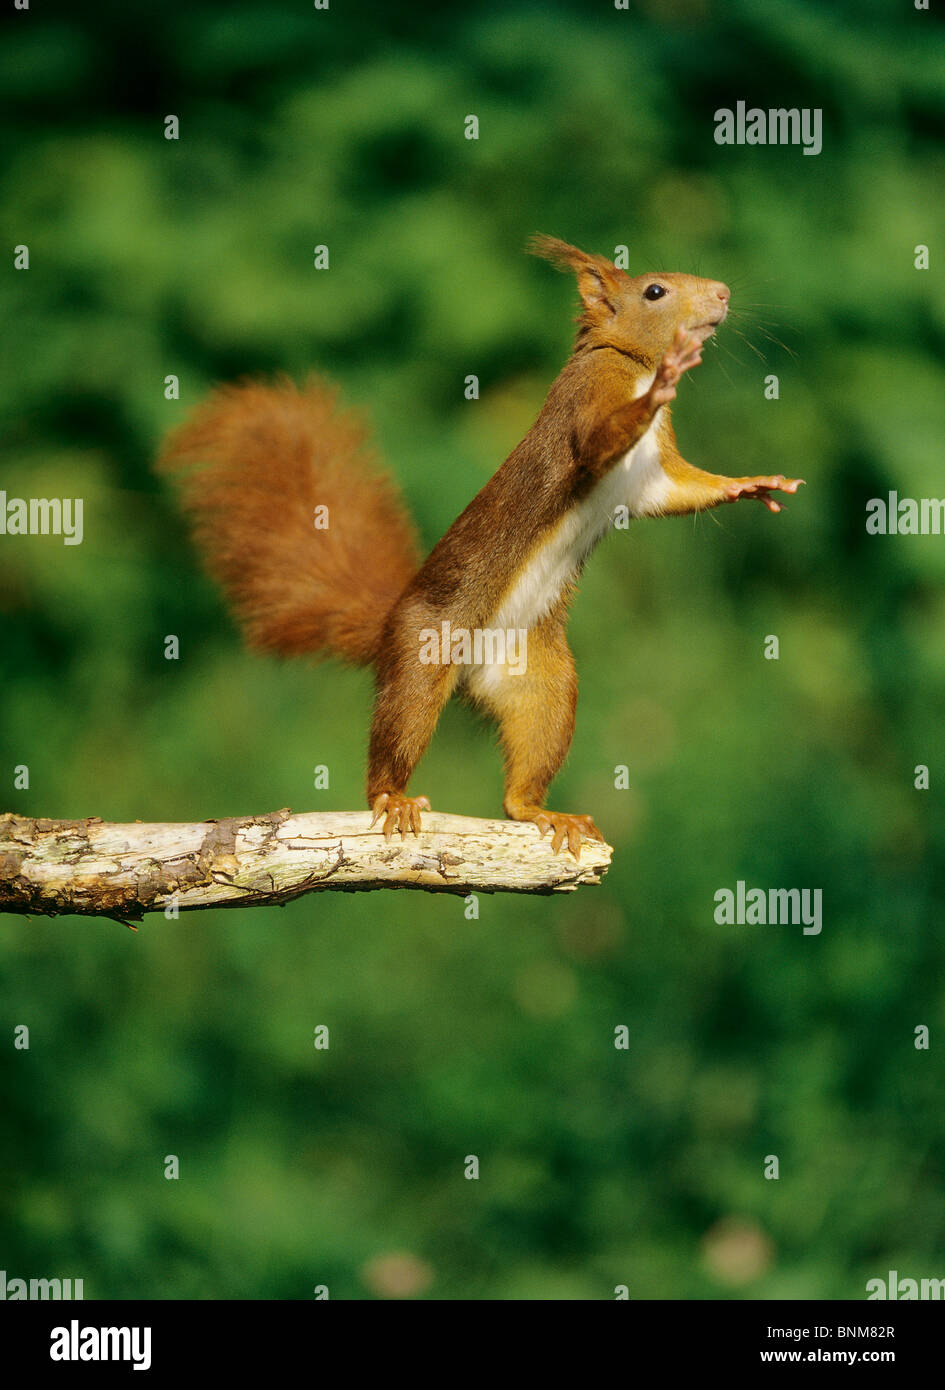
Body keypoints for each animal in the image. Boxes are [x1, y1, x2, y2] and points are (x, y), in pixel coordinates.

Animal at [159, 236, 803, 857]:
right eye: (654, 291)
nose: (723, 293)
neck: (631, 363)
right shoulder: (591, 400)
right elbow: (599, 439)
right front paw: (658, 391)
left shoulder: (654, 475)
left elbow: (681, 489)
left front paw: (752, 484)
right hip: (421, 658)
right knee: (395, 739)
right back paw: (392, 797)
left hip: (545, 686)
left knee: (521, 780)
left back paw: (544, 812)